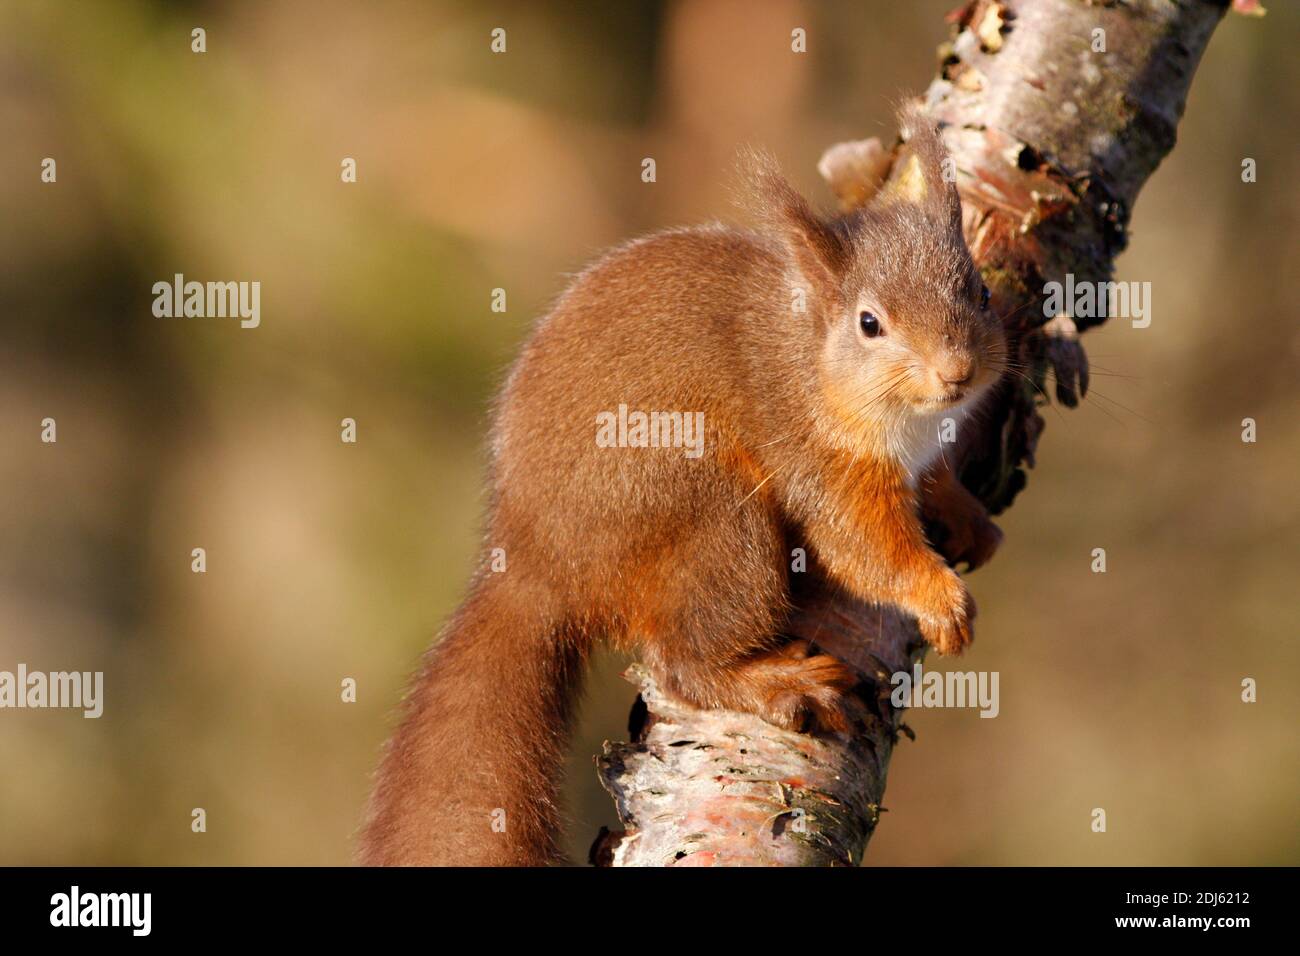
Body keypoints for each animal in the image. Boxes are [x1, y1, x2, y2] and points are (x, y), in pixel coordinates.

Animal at [359, 104, 1007, 866]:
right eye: (869, 323)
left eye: (981, 292)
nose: (957, 373)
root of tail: (536, 563)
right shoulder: (812, 454)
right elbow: (862, 547)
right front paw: (938, 597)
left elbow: (933, 484)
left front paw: (967, 518)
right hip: (709, 518)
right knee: (678, 664)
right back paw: (771, 680)